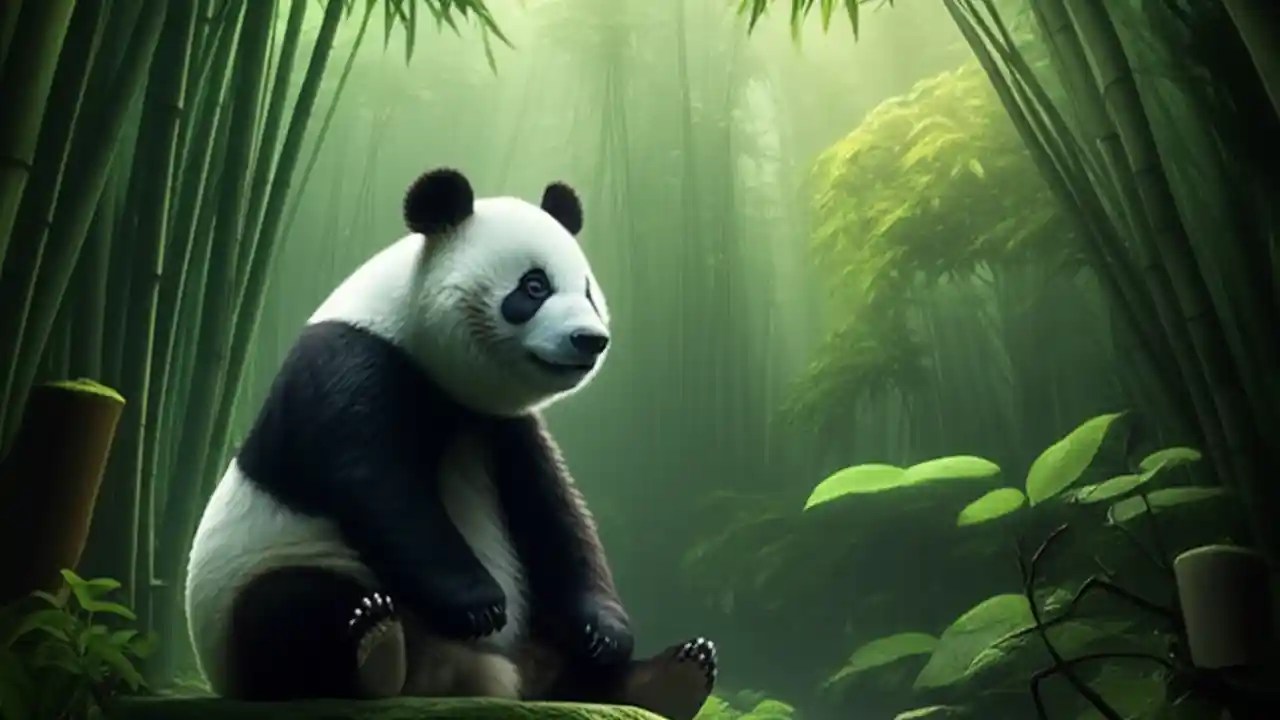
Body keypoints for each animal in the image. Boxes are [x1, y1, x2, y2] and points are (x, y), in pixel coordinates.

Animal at [184, 168, 717, 719]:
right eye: (534, 286)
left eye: (588, 291)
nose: (590, 340)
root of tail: (470, 677)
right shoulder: (347, 365)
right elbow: (379, 487)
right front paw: (478, 604)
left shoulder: (504, 425)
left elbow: (556, 514)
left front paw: (605, 633)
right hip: (262, 581)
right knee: (289, 611)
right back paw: (374, 648)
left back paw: (671, 677)